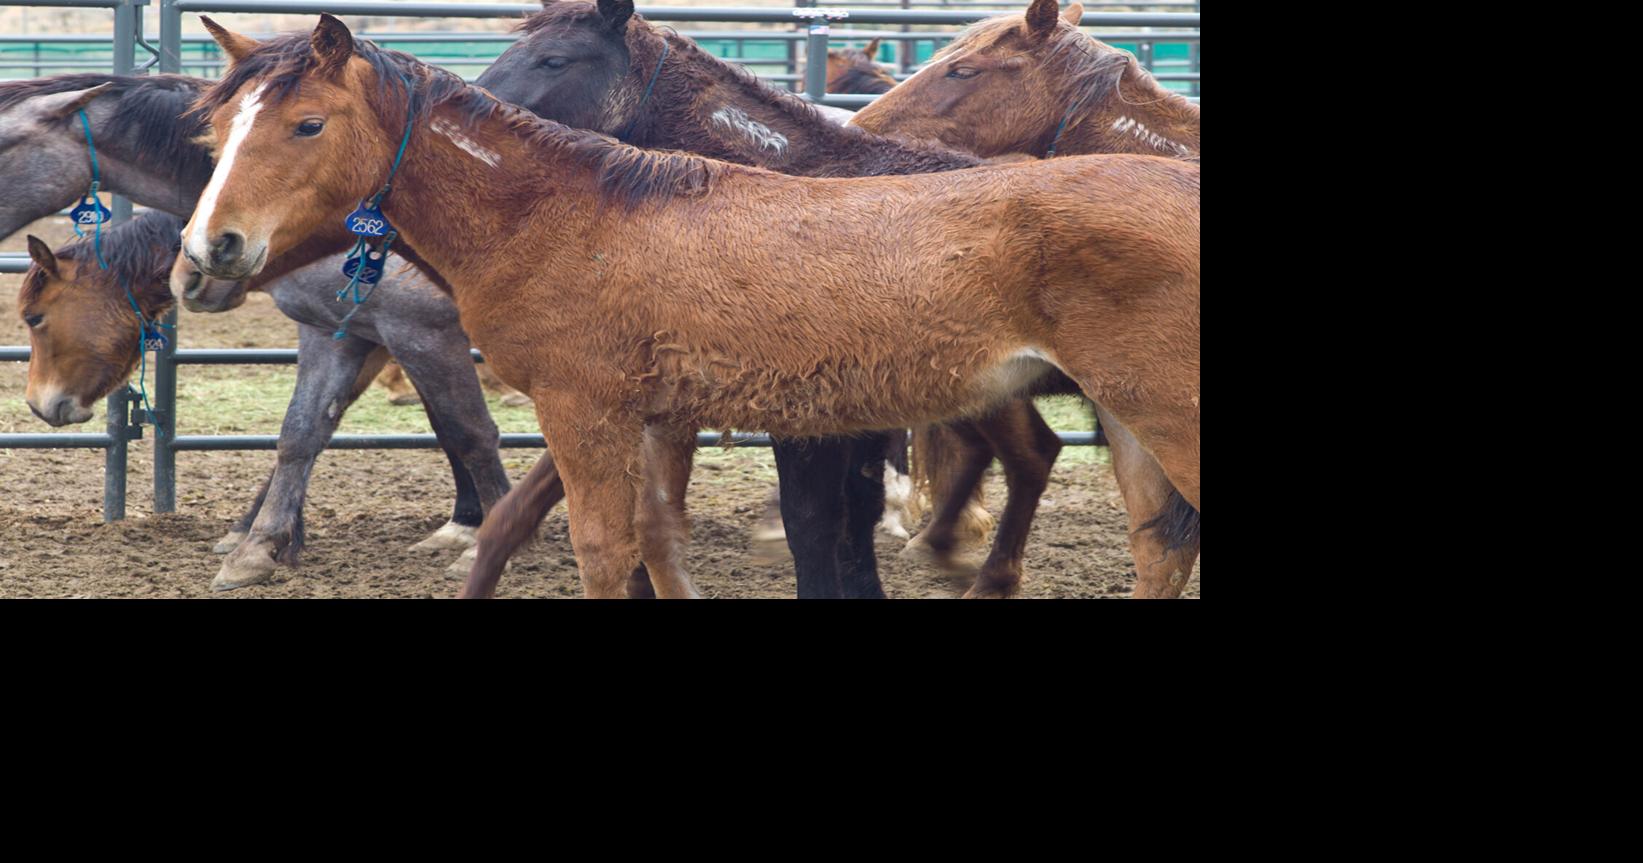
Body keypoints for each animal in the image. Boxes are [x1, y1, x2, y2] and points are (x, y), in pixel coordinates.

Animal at [0, 72, 509, 584]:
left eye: (35, 317)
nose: (40, 404)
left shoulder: (419, 333)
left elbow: (466, 430)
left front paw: (476, 535)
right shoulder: (345, 334)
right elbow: (304, 432)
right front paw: (255, 539)